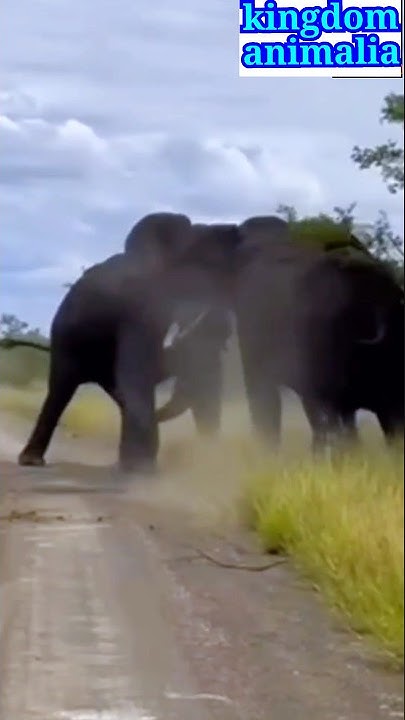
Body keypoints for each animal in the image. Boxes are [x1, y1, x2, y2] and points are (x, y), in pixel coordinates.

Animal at [14, 213, 240, 473]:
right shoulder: (138, 303)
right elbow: (140, 371)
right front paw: (143, 469)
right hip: (64, 340)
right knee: (61, 390)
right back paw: (32, 461)